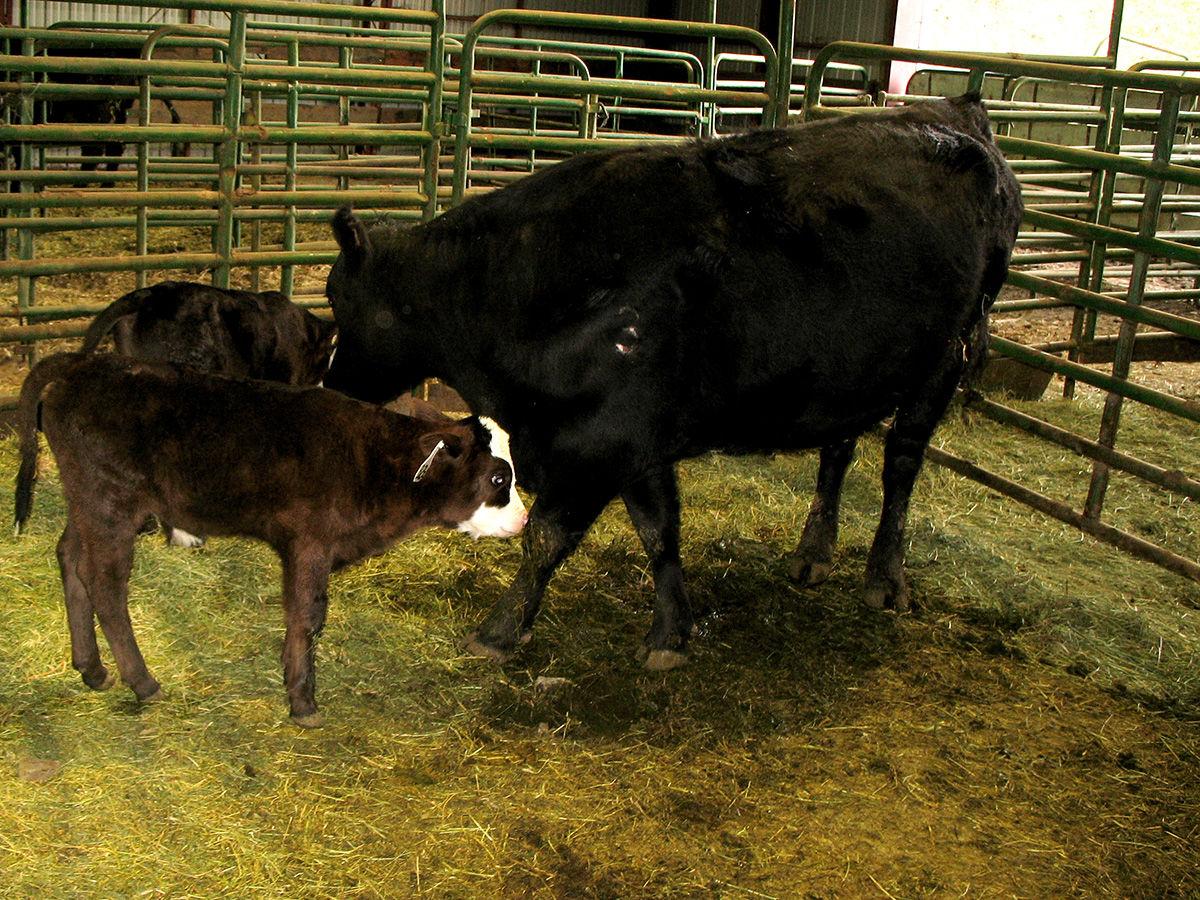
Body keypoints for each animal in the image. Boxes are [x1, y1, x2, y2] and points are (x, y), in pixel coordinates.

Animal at [13, 352, 527, 727]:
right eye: (499, 478)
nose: (524, 520)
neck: (371, 461)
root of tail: (84, 364)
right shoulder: (310, 542)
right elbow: (307, 617)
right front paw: (303, 702)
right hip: (113, 505)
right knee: (105, 585)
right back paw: (142, 681)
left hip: (88, 502)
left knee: (70, 558)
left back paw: (91, 668)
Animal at [322, 94, 1023, 671]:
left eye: (336, 299)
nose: (331, 388)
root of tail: (956, 113)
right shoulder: (636, 442)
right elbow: (658, 531)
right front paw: (671, 631)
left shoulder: (599, 441)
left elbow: (547, 538)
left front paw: (499, 630)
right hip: (847, 376)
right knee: (839, 448)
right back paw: (814, 551)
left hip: (947, 358)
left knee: (902, 462)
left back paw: (885, 577)